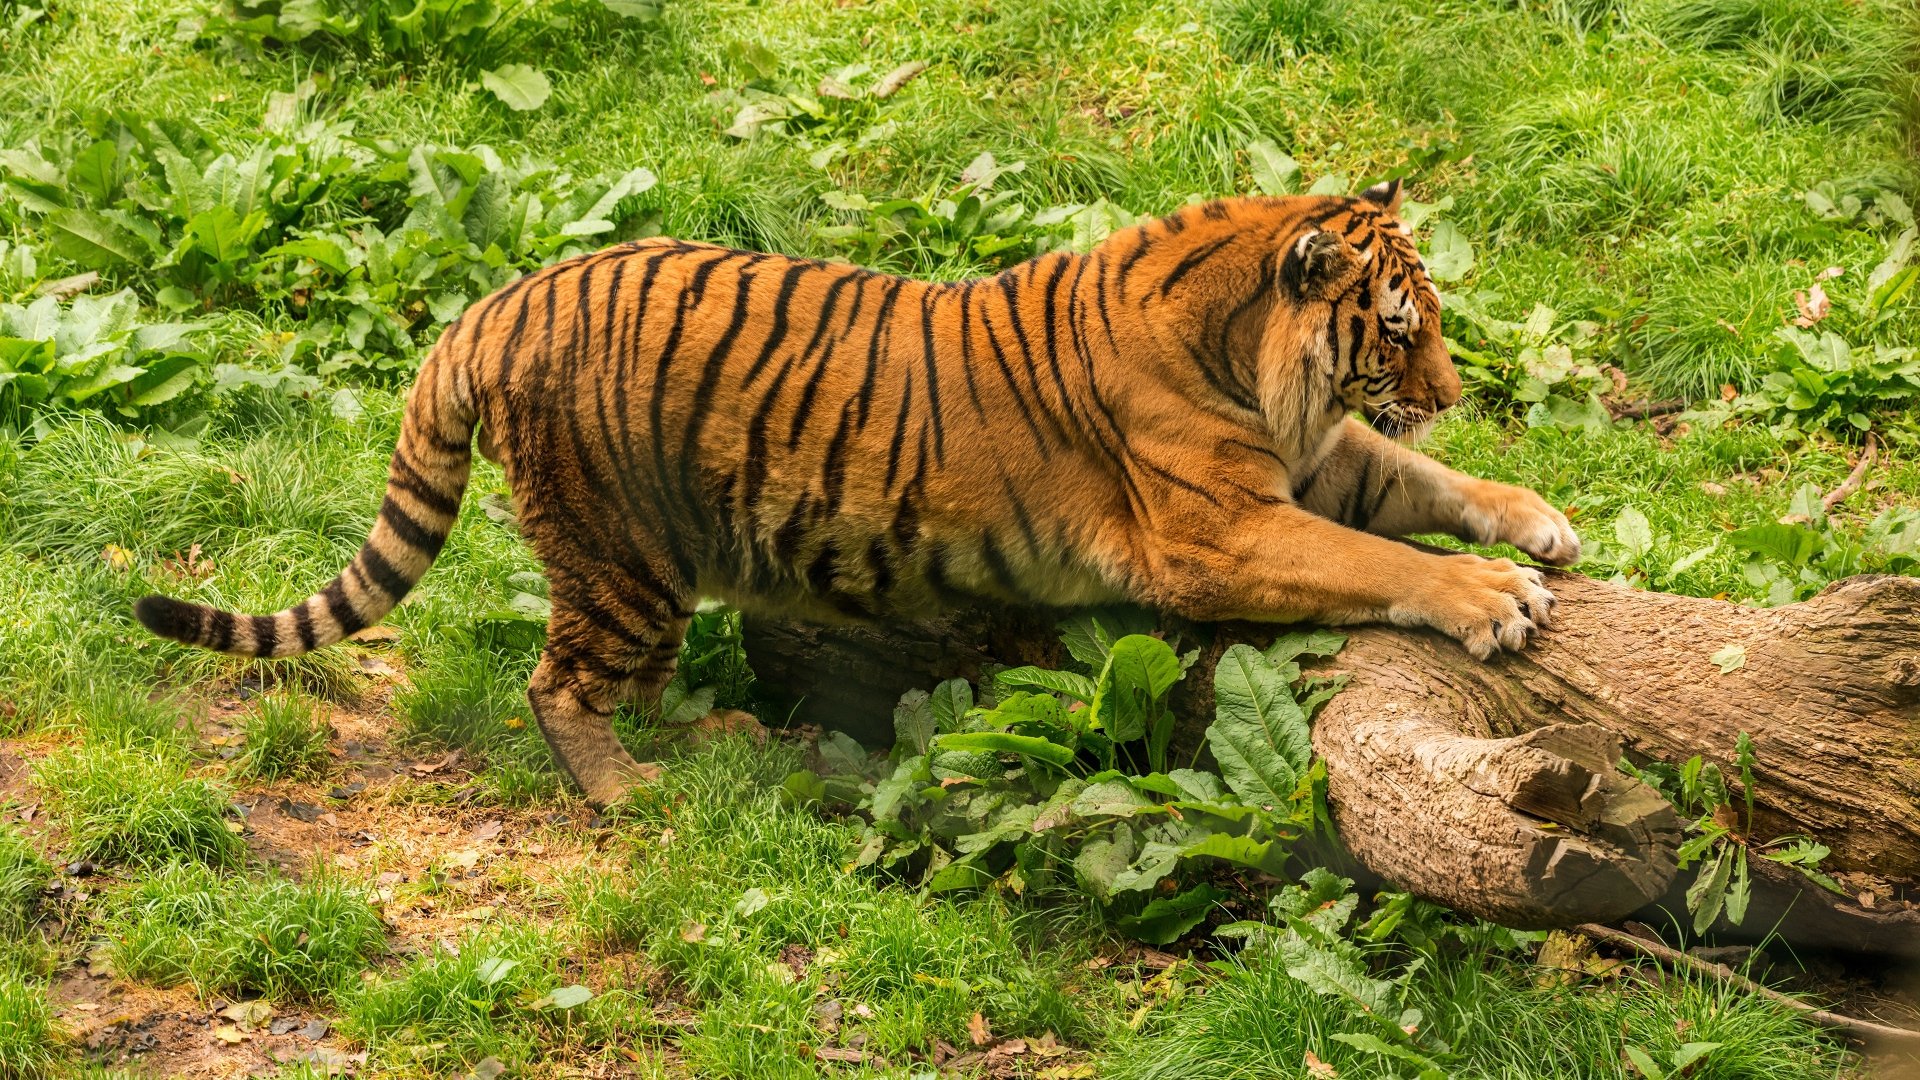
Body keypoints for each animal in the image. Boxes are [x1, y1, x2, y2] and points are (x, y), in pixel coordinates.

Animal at [135, 179, 1580, 808]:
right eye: (1400, 328)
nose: (1452, 383)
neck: (1252, 360)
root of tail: (494, 304)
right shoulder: (1217, 530)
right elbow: (1379, 560)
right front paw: (1491, 596)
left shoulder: (1315, 461)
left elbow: (1421, 480)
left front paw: (1535, 522)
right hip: (619, 555)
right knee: (560, 683)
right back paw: (624, 791)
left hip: (652, 568)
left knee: (629, 678)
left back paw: (715, 740)